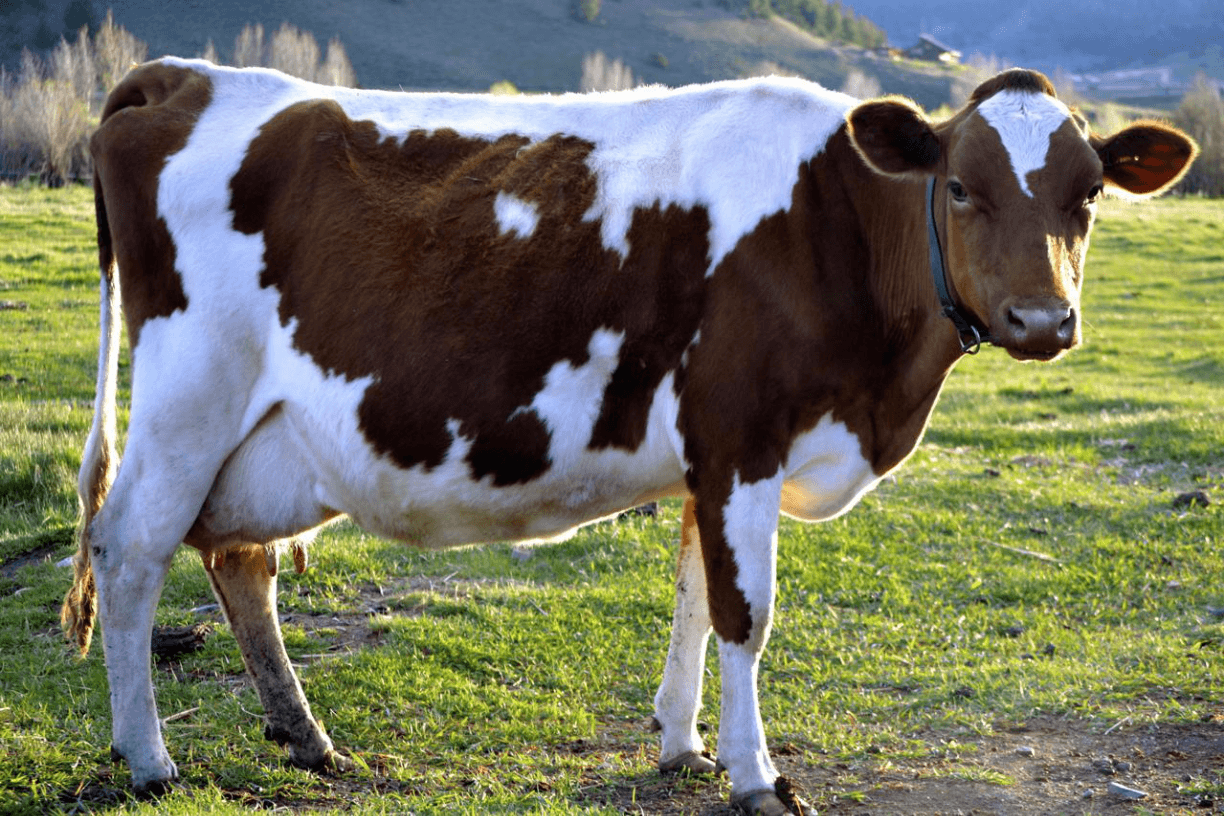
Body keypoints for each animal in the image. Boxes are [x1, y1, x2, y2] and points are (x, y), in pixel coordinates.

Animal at [62, 58, 1195, 814]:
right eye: (960, 186)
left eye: (1089, 195)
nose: (1043, 321)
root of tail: (184, 75)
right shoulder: (742, 434)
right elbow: (747, 614)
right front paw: (756, 774)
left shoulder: (711, 458)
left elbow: (696, 595)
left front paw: (684, 744)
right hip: (190, 396)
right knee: (130, 549)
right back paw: (148, 758)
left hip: (256, 436)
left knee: (235, 556)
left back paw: (306, 739)